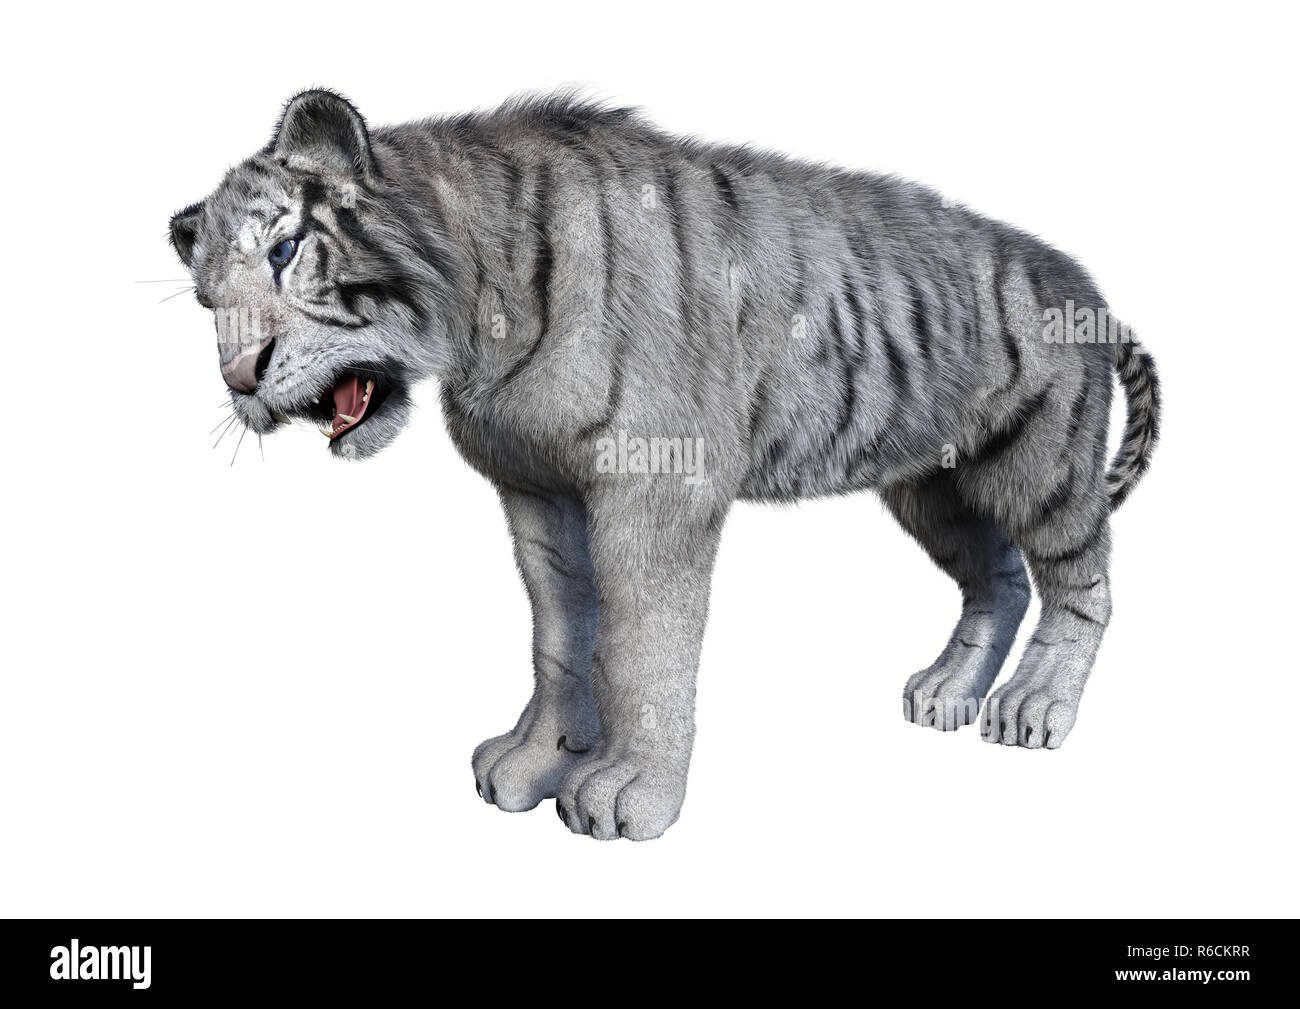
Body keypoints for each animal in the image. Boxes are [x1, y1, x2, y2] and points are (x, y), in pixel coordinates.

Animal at [170, 89, 1161, 840]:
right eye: (207, 299)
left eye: (284, 251)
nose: (239, 379)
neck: (480, 313)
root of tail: (1090, 289)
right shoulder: (538, 491)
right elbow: (560, 635)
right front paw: (533, 761)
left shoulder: (654, 489)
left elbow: (644, 646)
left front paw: (627, 794)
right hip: (932, 486)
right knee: (999, 578)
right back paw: (950, 691)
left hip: (1040, 466)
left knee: (1083, 584)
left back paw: (1034, 707)